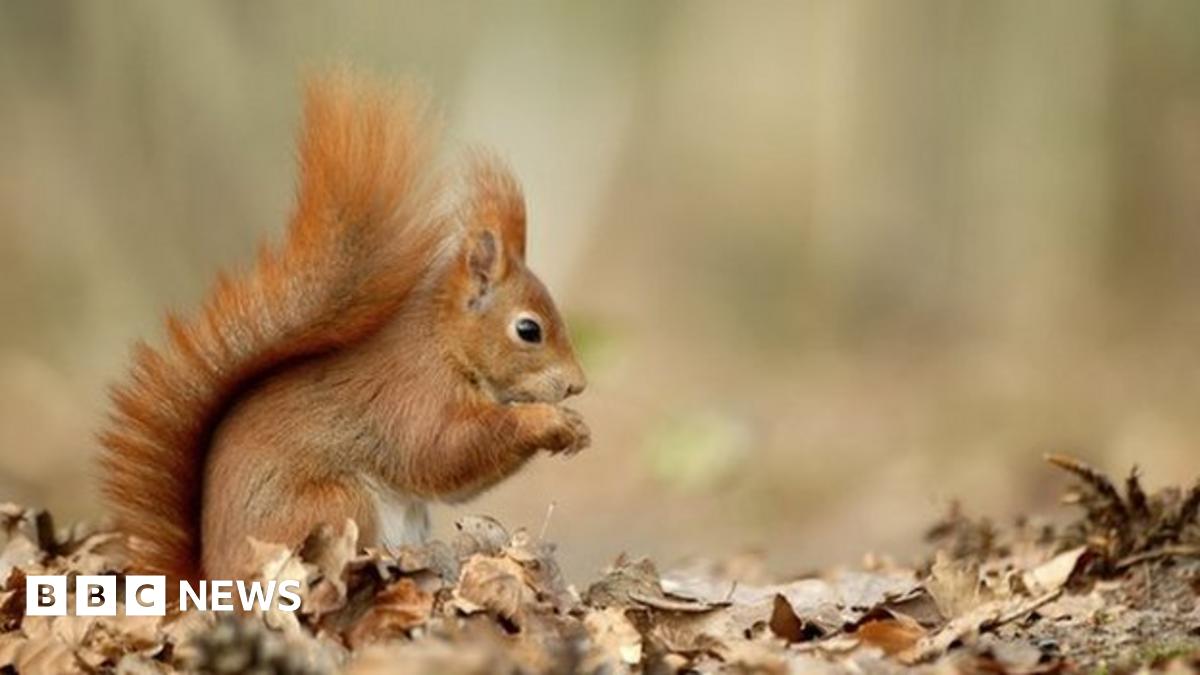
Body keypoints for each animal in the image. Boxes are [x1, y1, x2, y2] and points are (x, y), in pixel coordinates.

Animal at [98, 71, 590, 583]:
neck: (446, 345)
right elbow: (443, 451)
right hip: (335, 504)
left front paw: (575, 428)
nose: (577, 385)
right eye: (529, 330)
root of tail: (211, 581)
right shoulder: (413, 397)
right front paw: (550, 422)